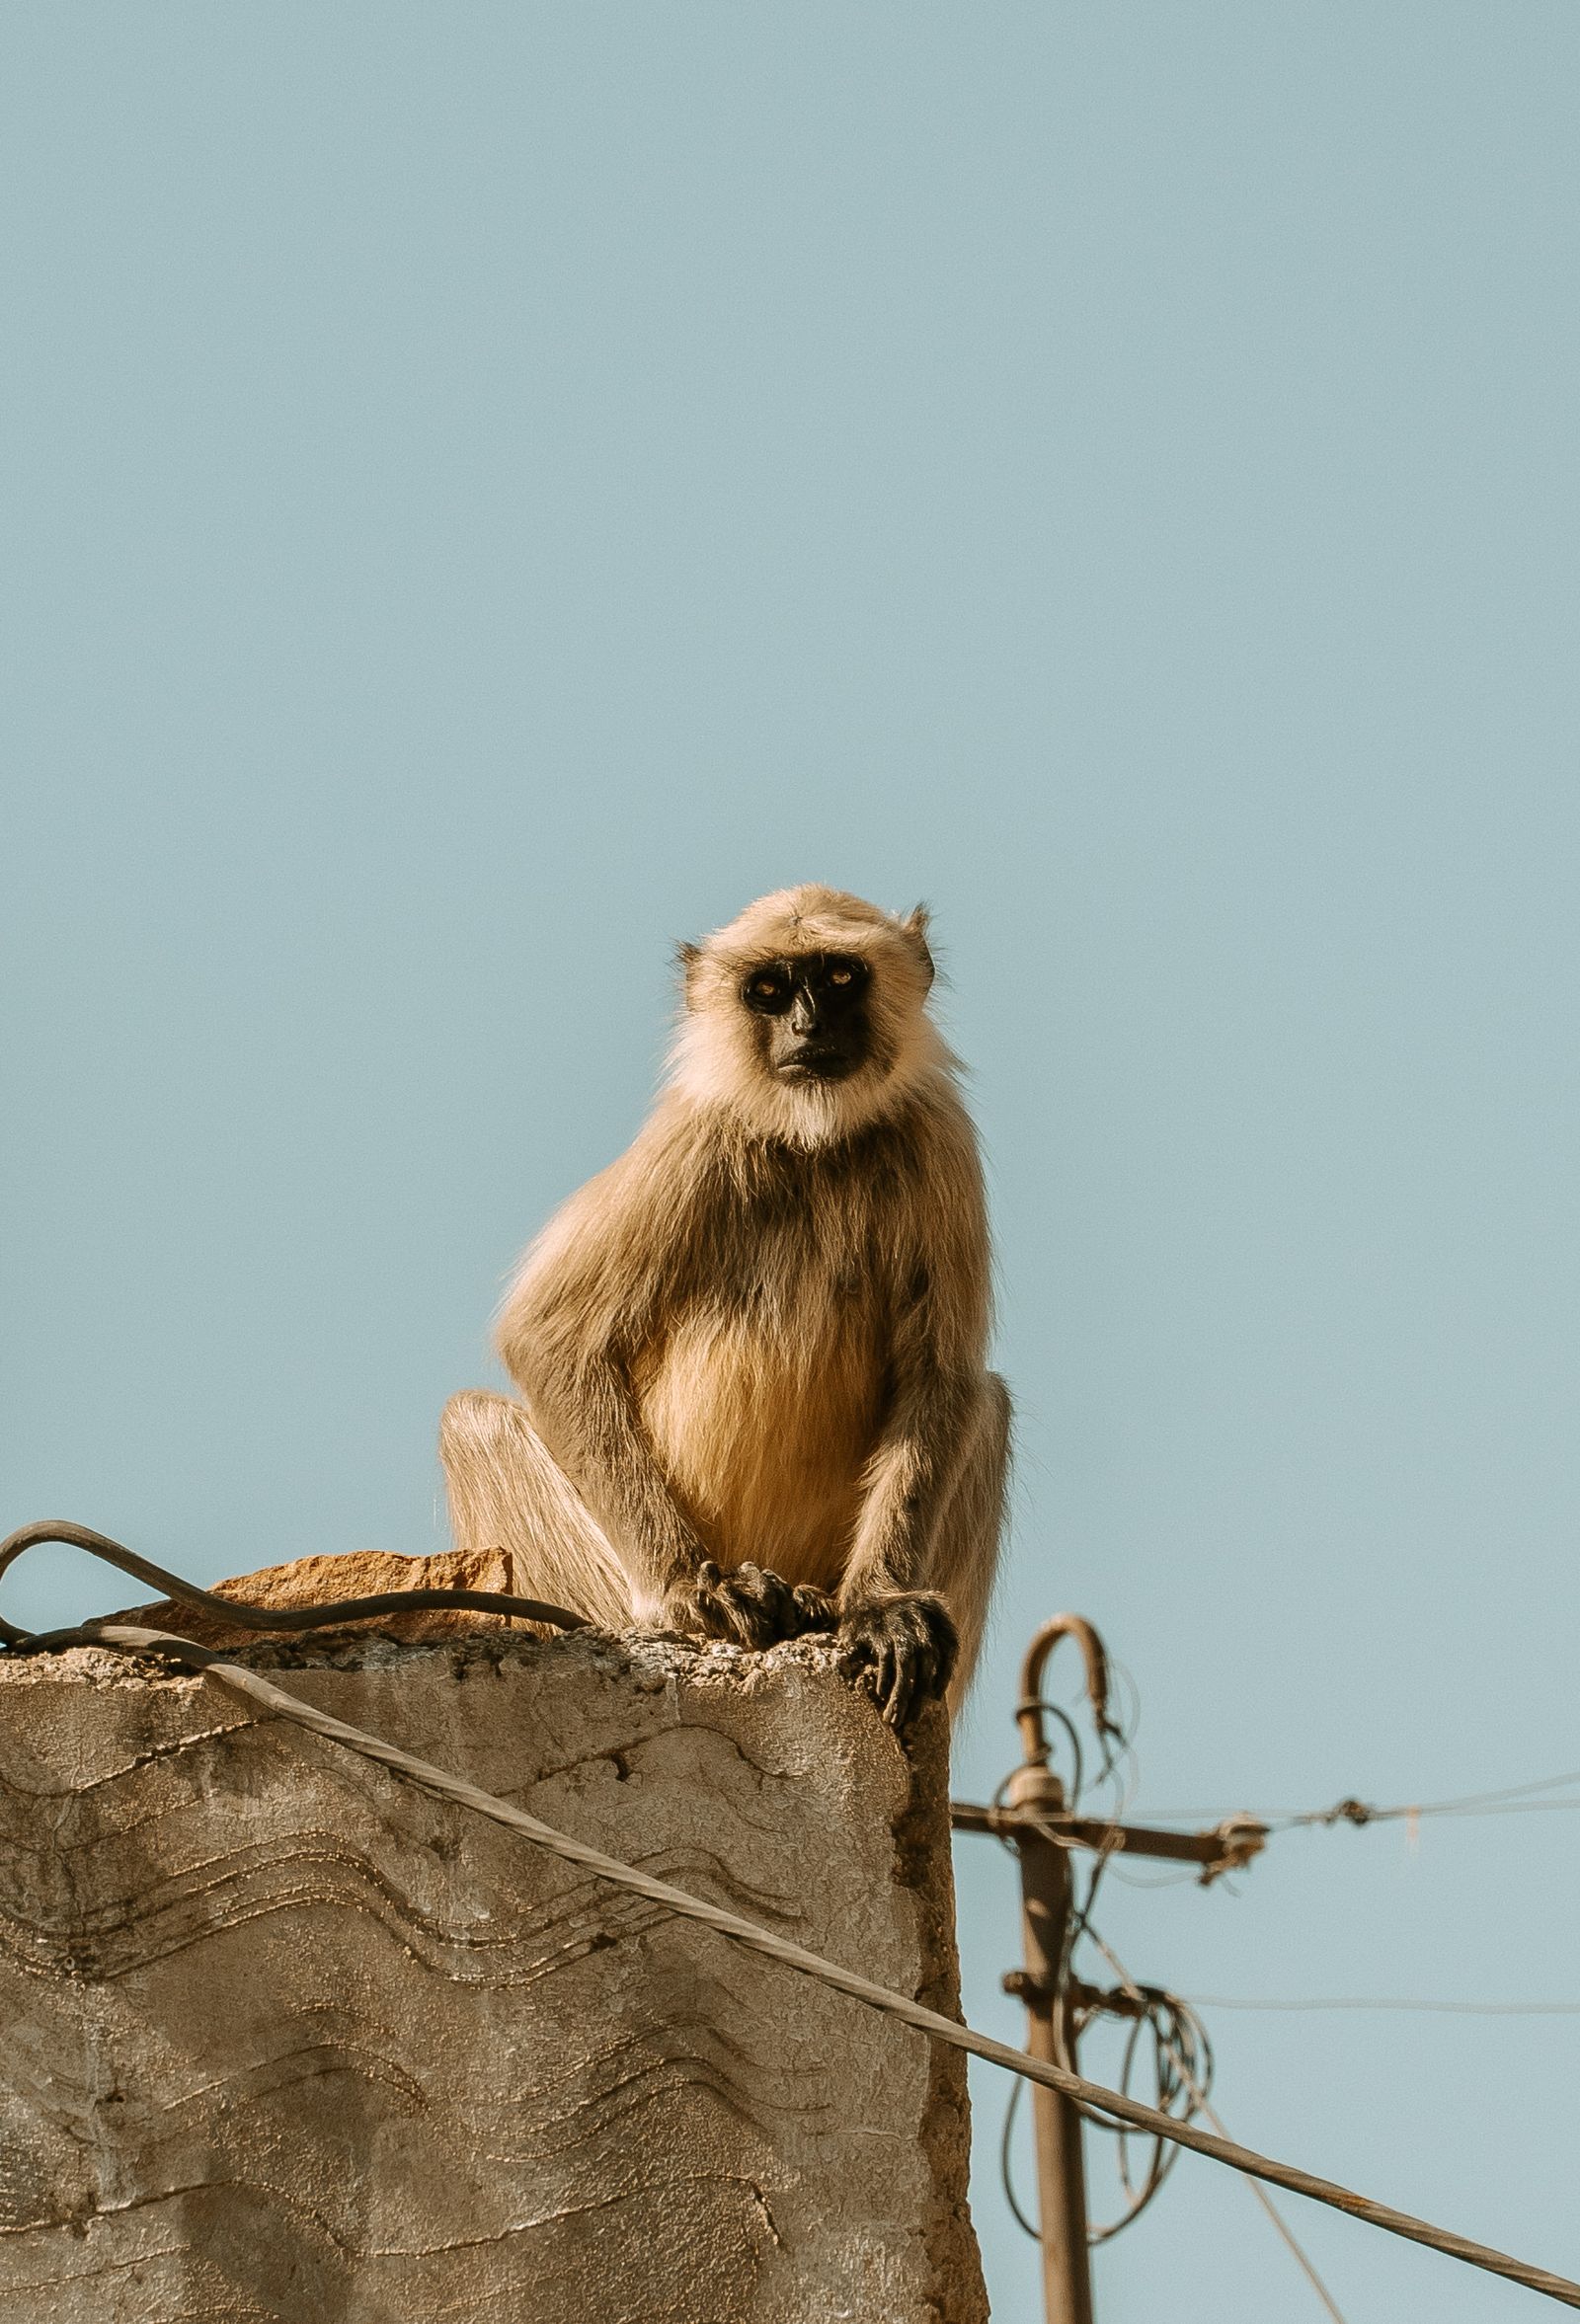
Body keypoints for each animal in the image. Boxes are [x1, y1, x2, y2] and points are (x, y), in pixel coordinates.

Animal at [439, 885, 1010, 1724]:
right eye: (768, 990)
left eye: (840, 978)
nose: (807, 1028)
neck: (817, 1143)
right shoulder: (694, 1136)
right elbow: (547, 1337)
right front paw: (694, 1588)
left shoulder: (939, 1129)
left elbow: (943, 1377)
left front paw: (882, 1606)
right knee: (472, 1419)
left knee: (988, 1401)